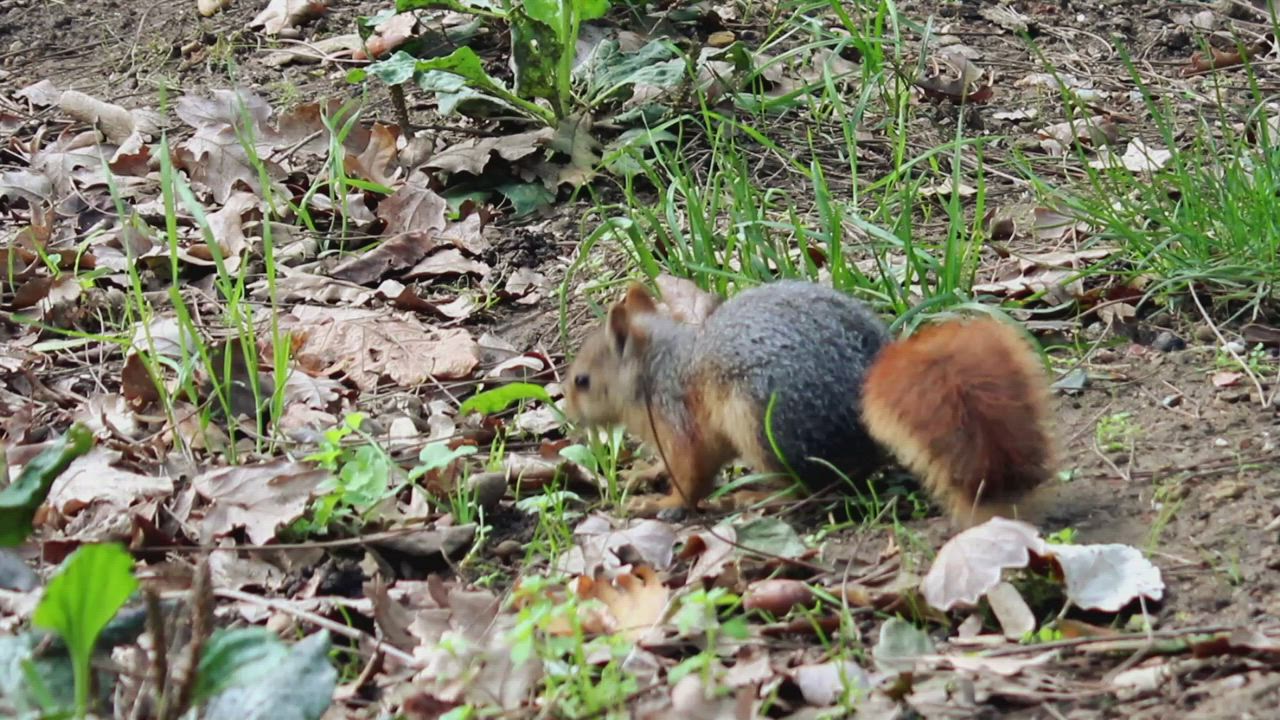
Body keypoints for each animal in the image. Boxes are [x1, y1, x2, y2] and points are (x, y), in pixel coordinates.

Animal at [563, 280, 1054, 525]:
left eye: (582, 381)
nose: (568, 418)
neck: (658, 369)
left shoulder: (679, 420)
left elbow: (691, 474)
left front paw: (662, 503)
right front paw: (644, 473)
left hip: (762, 420)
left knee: (808, 491)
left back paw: (753, 498)